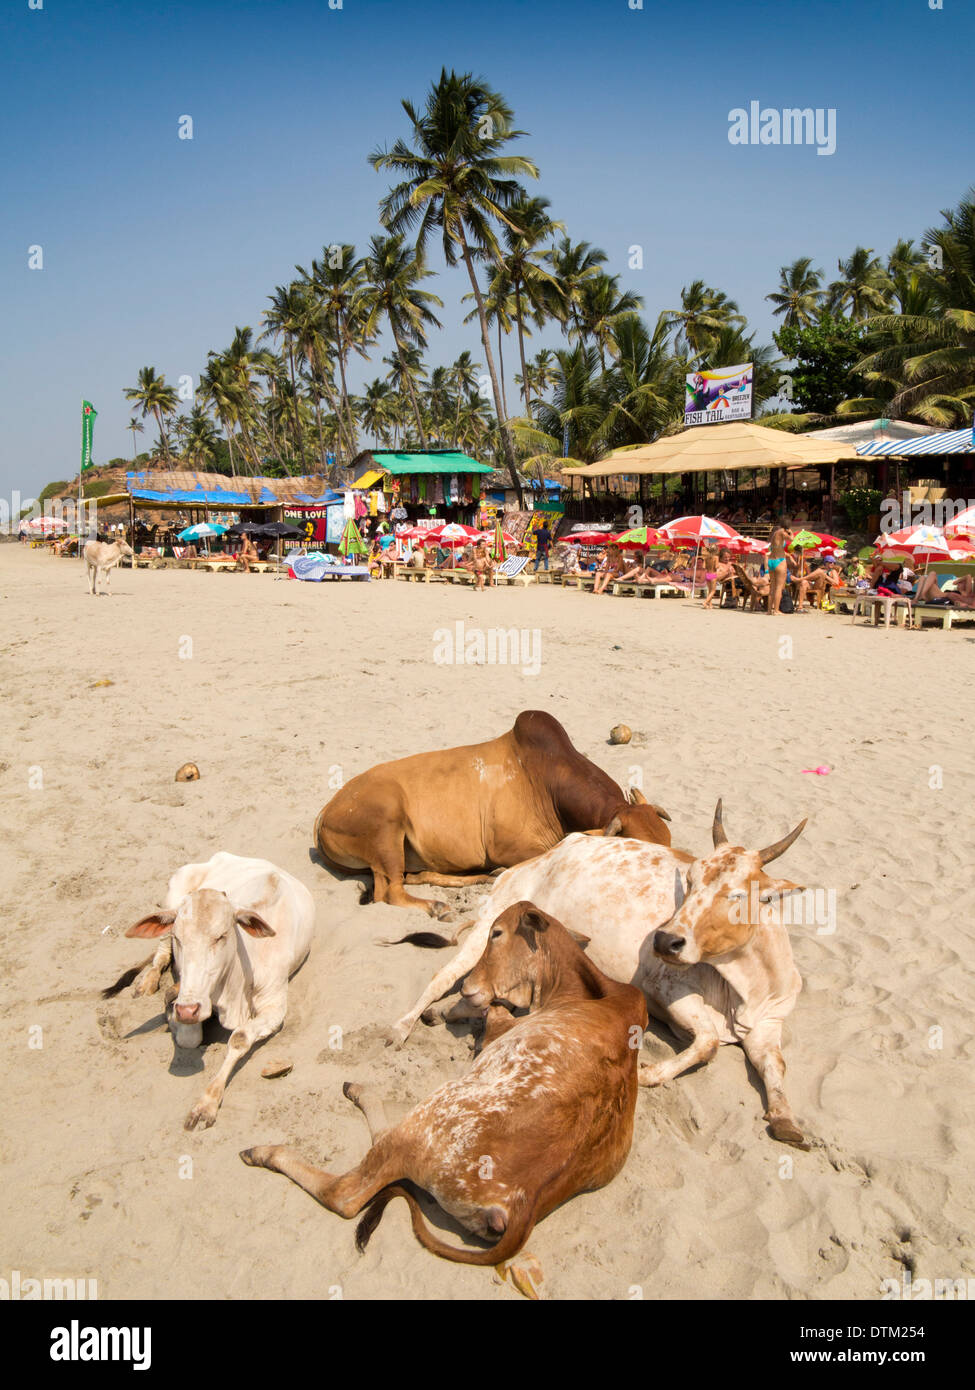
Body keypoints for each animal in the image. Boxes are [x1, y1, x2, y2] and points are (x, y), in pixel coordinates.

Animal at [102, 852, 315, 1130]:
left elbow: (239, 1038)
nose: (187, 1009)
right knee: (160, 954)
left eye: (221, 936)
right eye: (179, 938)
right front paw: (171, 1011)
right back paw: (148, 982)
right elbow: (188, 1038)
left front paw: (206, 1104)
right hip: (172, 897)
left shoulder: (275, 1007)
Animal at [240, 901, 647, 1297]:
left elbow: (491, 1011)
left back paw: (270, 1148)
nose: (466, 986)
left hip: (434, 1112)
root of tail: (521, 1204)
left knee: (348, 1190)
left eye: (496, 933)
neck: (582, 990)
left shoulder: (503, 1026)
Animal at [313, 710, 672, 918]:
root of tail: (325, 813)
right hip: (386, 825)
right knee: (390, 892)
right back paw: (438, 906)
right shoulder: (510, 848)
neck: (546, 778)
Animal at [390, 802, 810, 1147]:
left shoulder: (768, 1026)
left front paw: (786, 1120)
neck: (744, 987)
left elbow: (776, 1066)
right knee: (447, 978)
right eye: (690, 882)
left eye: (739, 895)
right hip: (490, 925)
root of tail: (541, 858)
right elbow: (707, 1042)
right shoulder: (669, 990)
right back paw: (403, 1026)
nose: (665, 940)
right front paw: (650, 1073)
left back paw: (444, 1014)